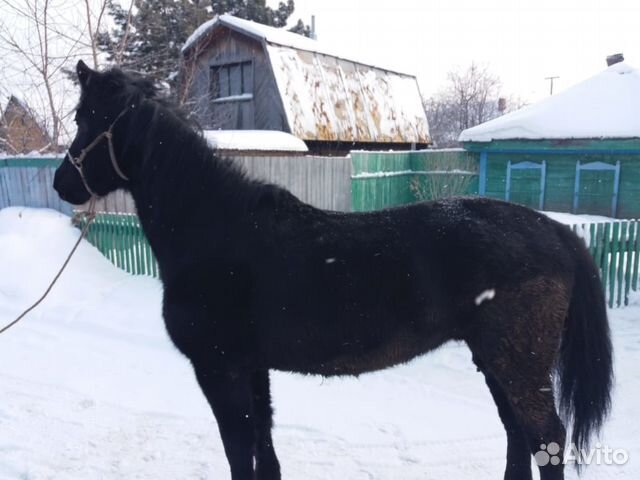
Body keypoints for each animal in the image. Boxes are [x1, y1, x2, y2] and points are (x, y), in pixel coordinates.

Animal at [53, 61, 613, 480]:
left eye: (85, 117)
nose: (62, 183)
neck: (216, 228)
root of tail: (556, 231)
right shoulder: (252, 367)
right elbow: (265, 450)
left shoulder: (219, 368)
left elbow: (240, 451)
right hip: (496, 361)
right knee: (518, 437)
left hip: (518, 364)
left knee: (546, 439)